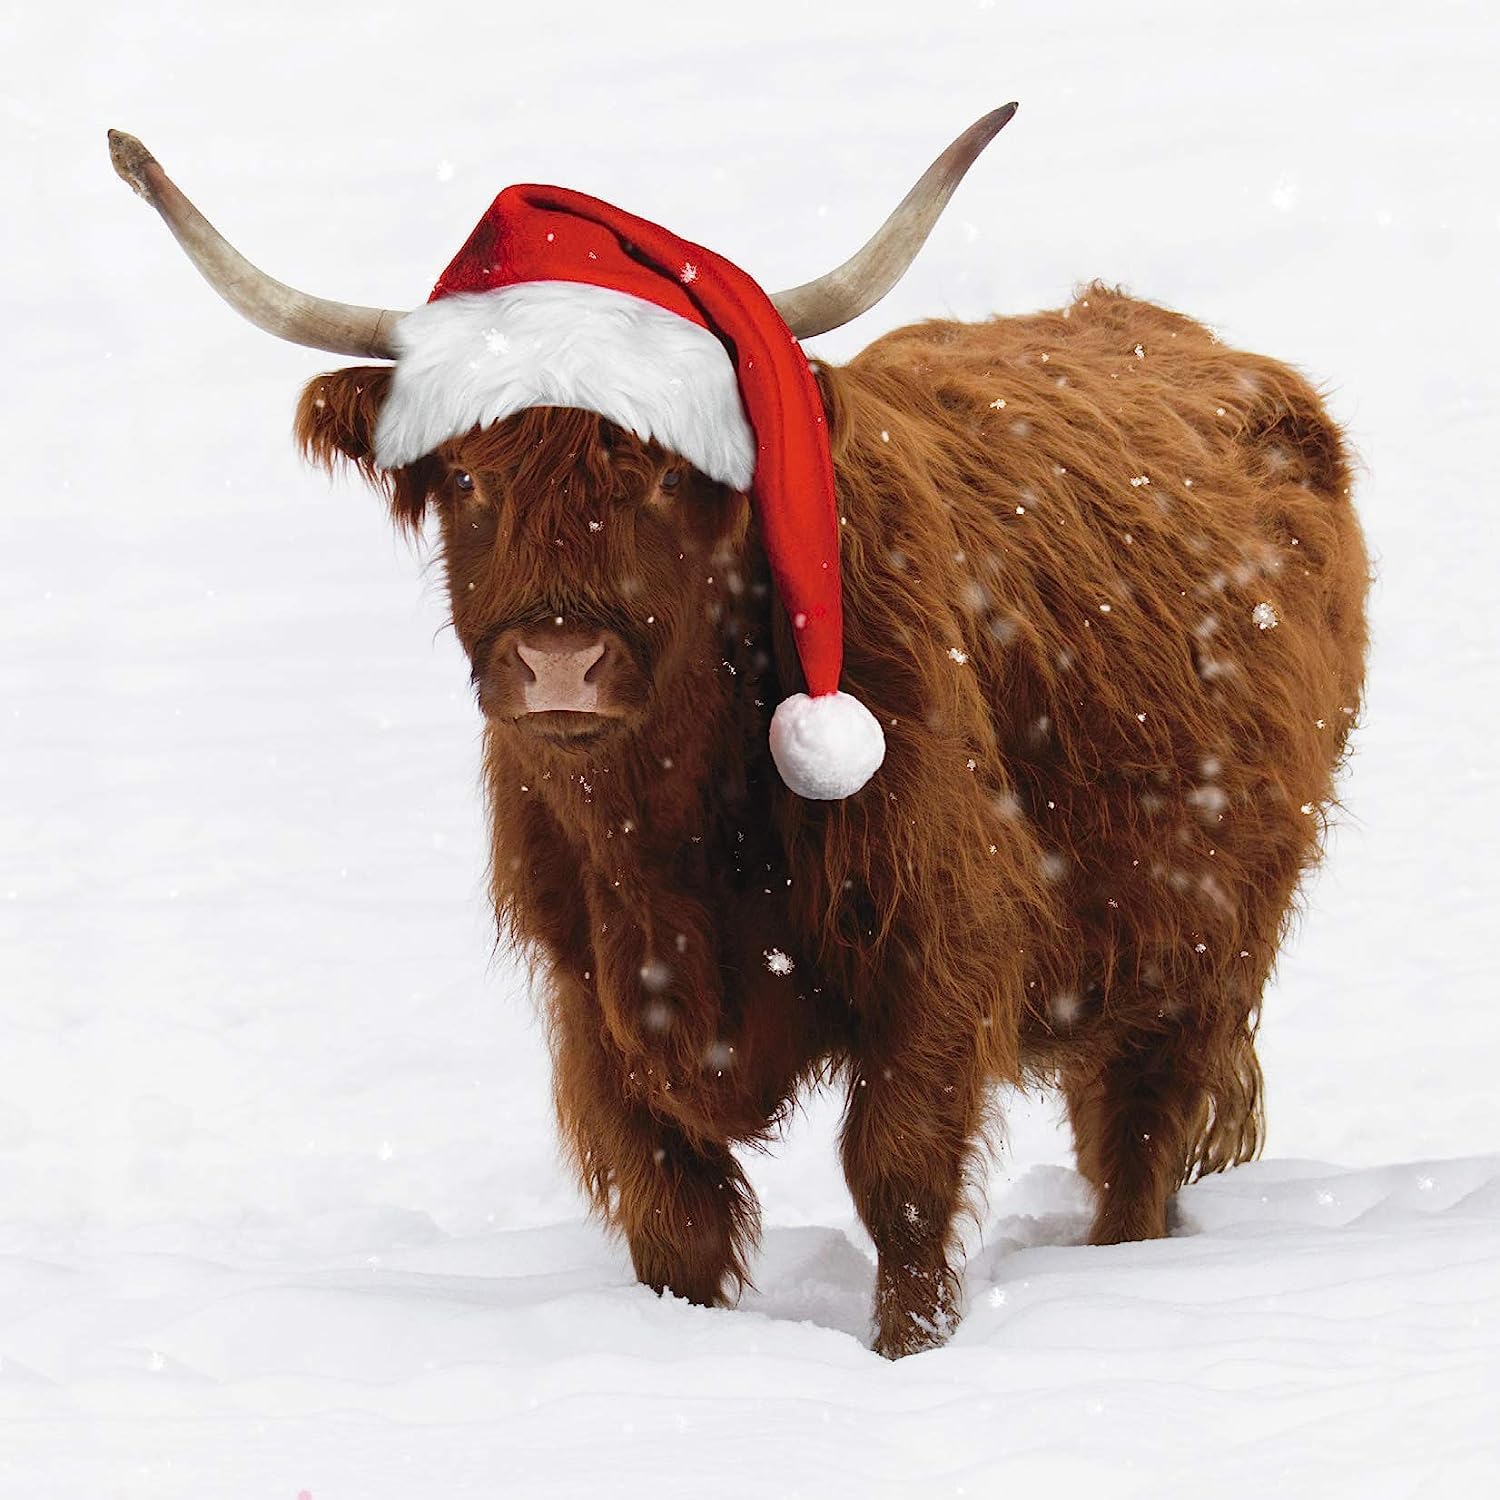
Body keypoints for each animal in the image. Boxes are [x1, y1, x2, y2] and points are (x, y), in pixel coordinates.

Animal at [110, 109, 1368, 1358]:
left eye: (667, 476)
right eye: (465, 475)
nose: (558, 663)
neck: (668, 834)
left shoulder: (937, 942)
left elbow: (900, 1174)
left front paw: (910, 1353)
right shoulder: (594, 998)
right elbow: (671, 1207)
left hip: (1207, 940)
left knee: (1138, 1138)